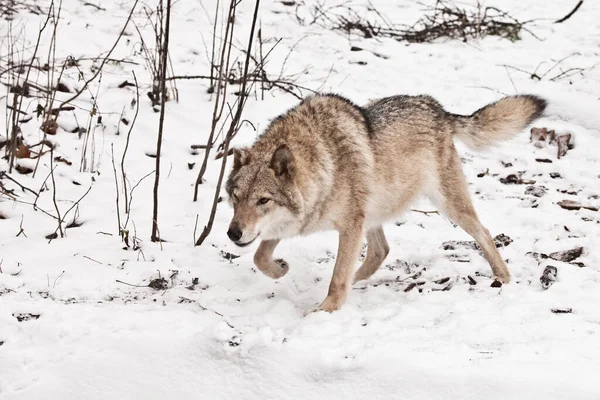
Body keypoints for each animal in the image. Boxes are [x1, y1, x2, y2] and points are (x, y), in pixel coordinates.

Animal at [223, 93, 548, 312]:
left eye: (263, 200)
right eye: (236, 197)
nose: (233, 233)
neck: (323, 162)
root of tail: (439, 109)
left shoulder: (350, 225)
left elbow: (336, 278)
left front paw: (326, 310)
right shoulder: (299, 222)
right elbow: (259, 257)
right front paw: (280, 269)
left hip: (448, 206)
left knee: (484, 232)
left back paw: (503, 277)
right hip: (375, 211)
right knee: (381, 251)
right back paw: (357, 279)